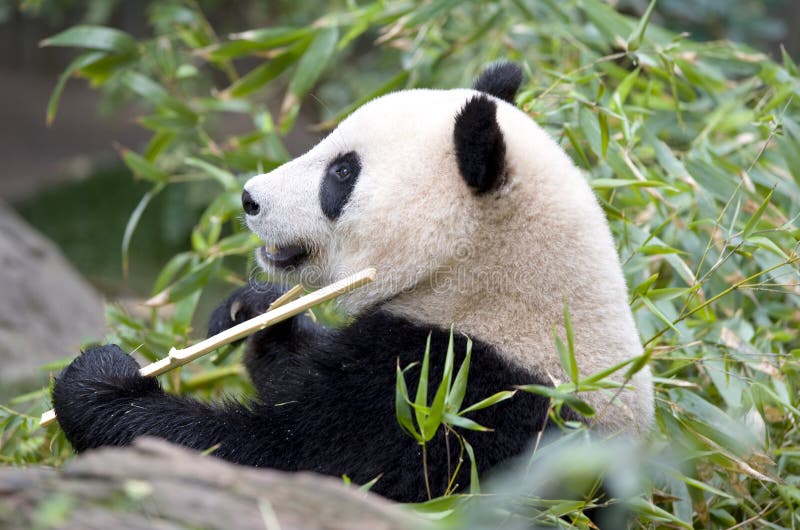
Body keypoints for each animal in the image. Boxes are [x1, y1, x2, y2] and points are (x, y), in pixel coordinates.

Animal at [52, 62, 653, 503]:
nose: (249, 198)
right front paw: (255, 310)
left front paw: (99, 383)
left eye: (341, 173)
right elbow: (300, 370)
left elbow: (299, 464)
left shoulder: (462, 399)